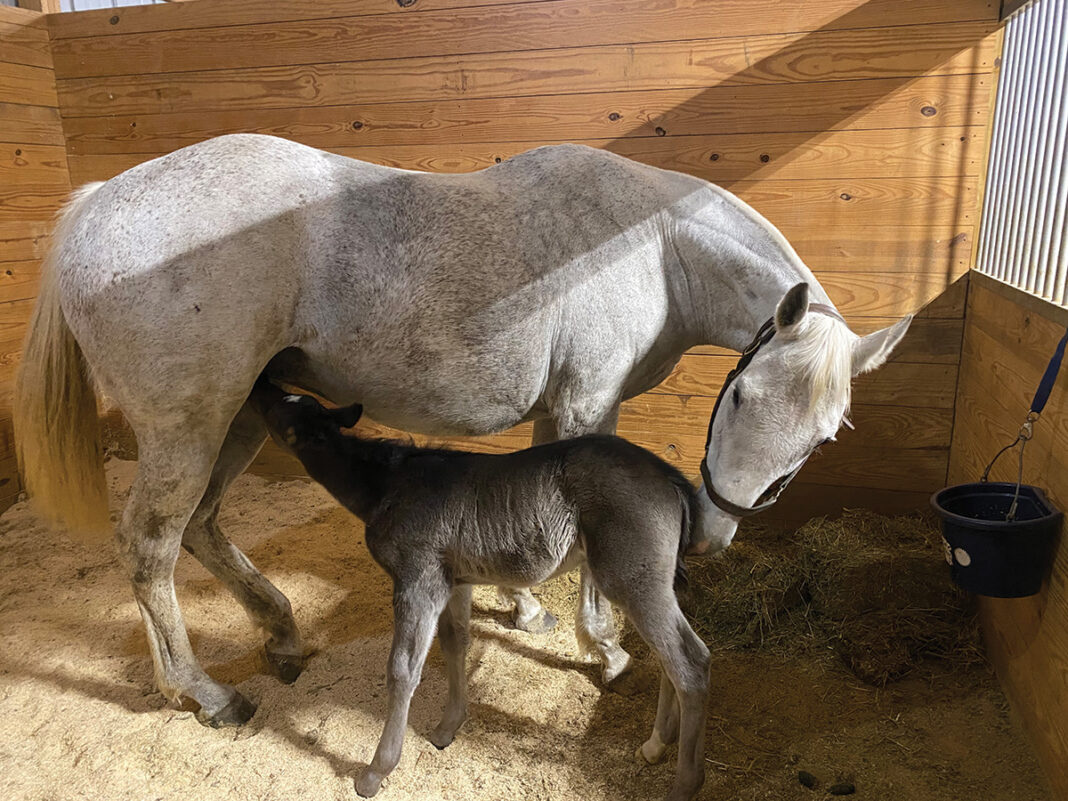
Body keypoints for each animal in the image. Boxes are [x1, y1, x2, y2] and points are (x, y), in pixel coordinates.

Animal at [14, 135, 911, 728]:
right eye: (742, 396)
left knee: (199, 527)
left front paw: (526, 607)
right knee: (151, 543)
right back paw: (204, 692)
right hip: (189, 427)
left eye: (823, 438)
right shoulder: (589, 408)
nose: (717, 529)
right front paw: (603, 644)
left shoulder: (559, 413)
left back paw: (281, 633)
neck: (653, 245)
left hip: (239, 417)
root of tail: (98, 204)